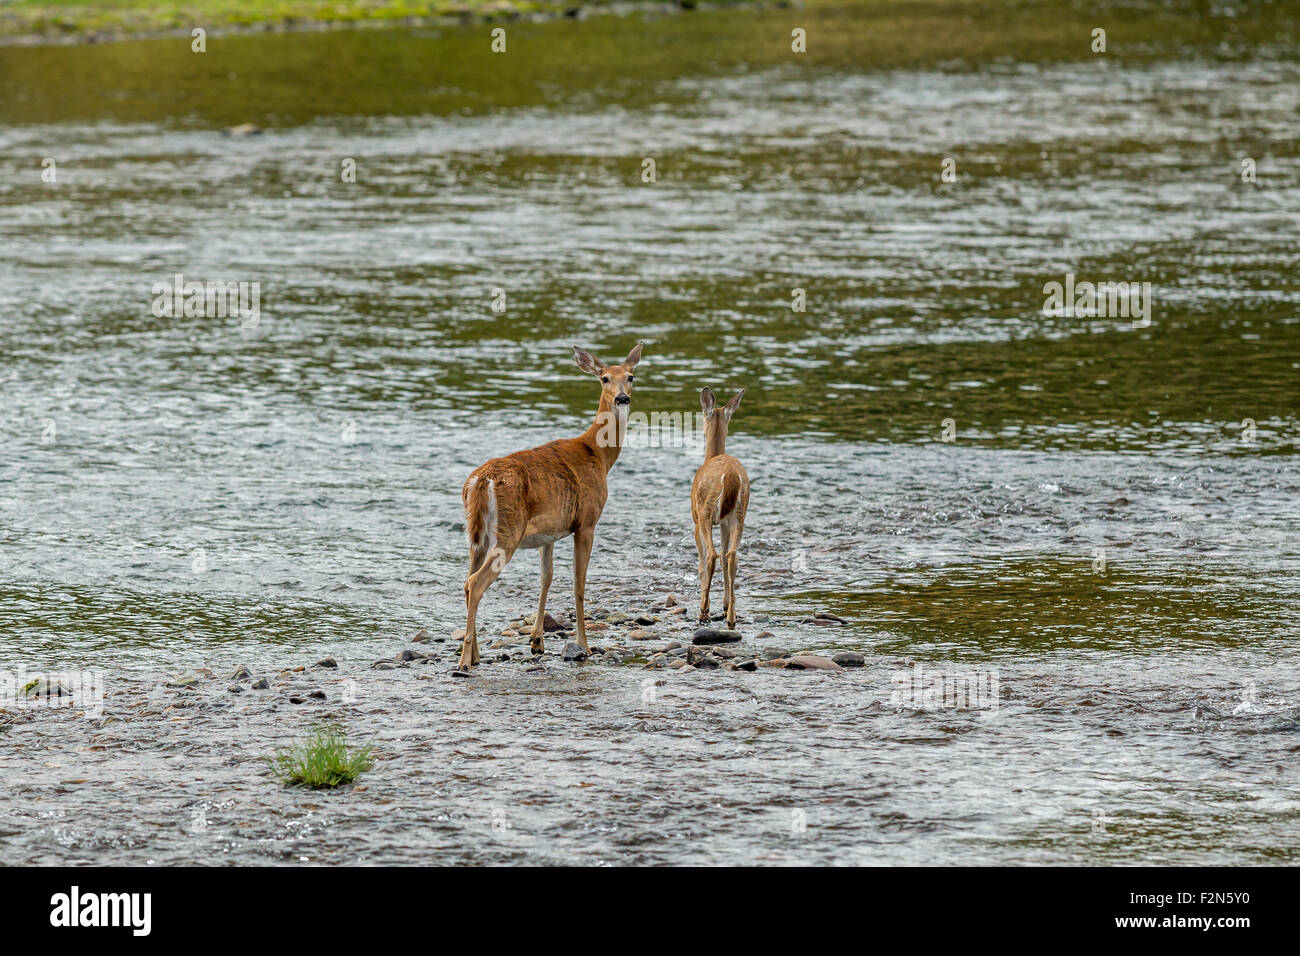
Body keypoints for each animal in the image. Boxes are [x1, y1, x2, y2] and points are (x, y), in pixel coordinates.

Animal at [457, 342, 644, 673]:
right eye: (605, 378)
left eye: (631, 376)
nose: (622, 398)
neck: (598, 454)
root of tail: (482, 480)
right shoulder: (587, 522)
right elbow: (579, 584)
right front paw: (584, 646)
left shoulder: (549, 532)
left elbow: (547, 577)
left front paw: (536, 641)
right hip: (508, 530)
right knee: (475, 582)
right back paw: (465, 661)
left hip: (476, 535)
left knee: (466, 582)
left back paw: (476, 654)